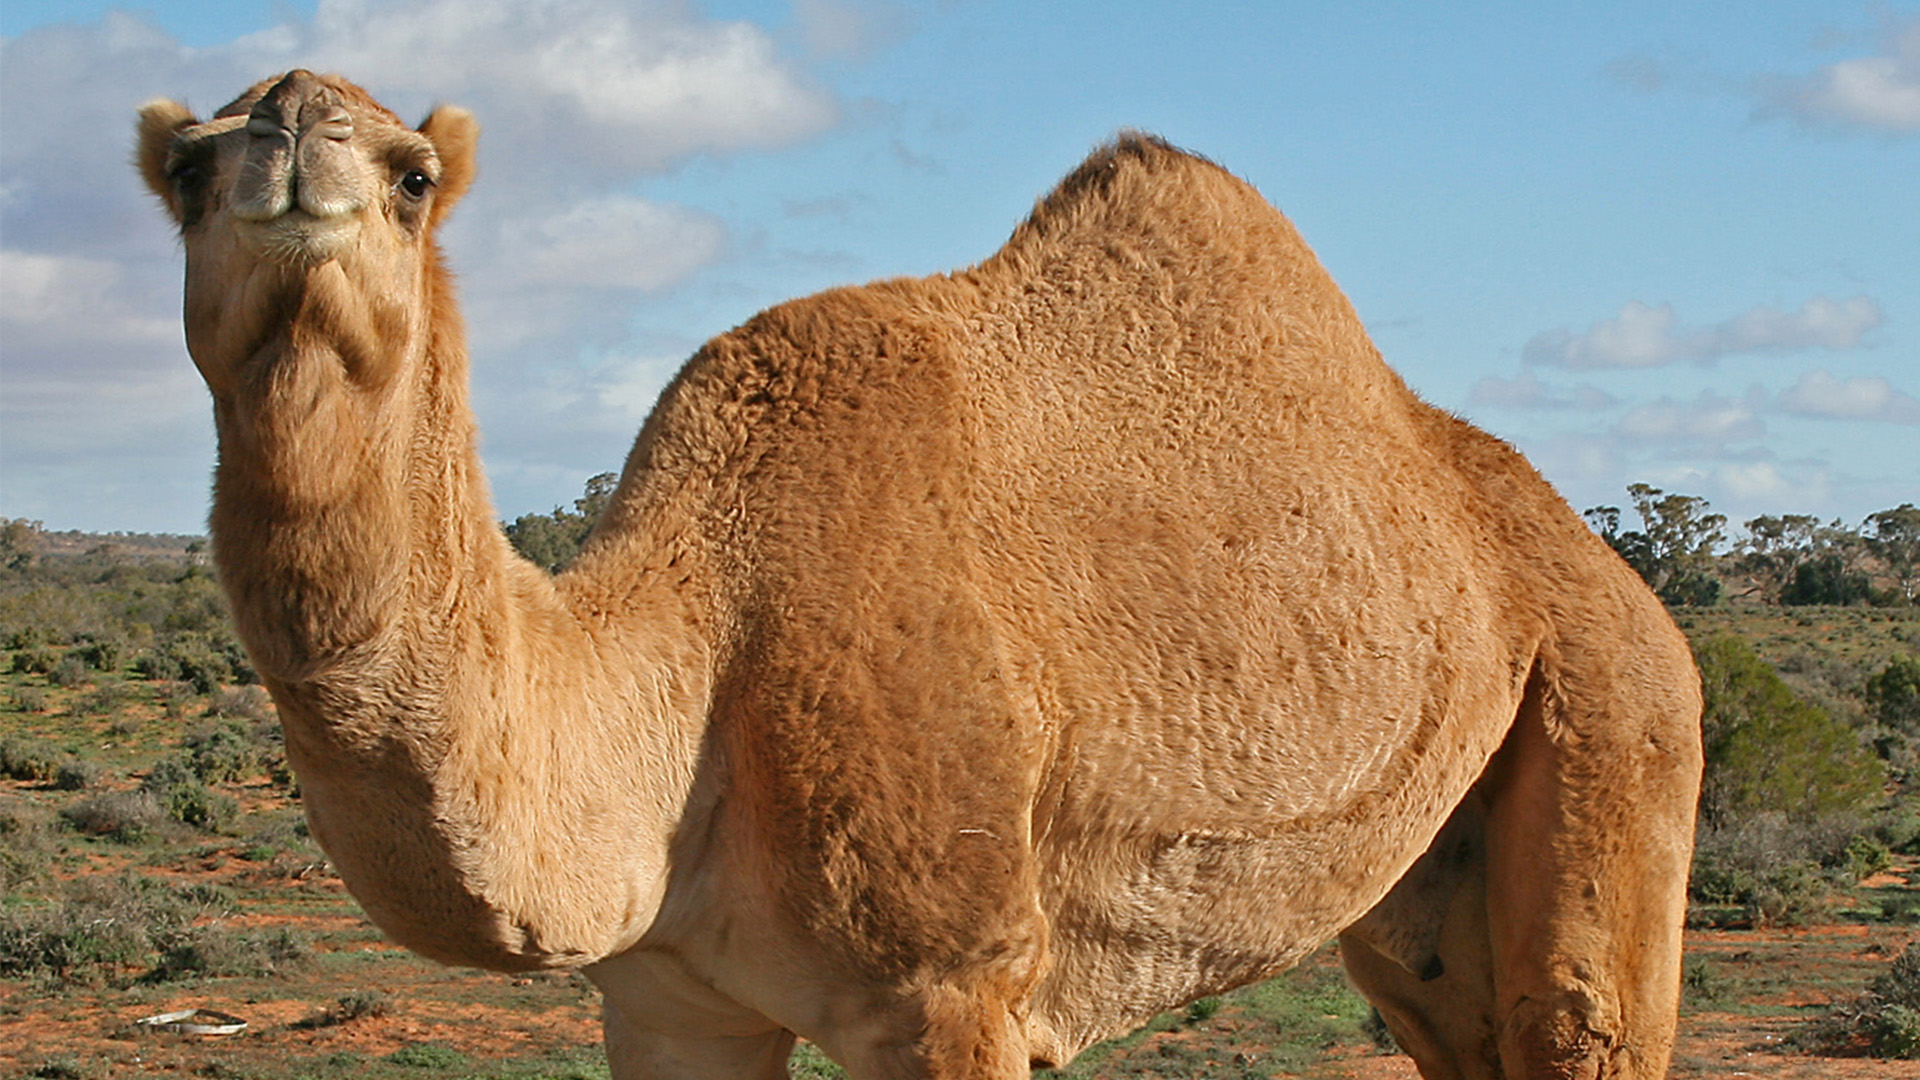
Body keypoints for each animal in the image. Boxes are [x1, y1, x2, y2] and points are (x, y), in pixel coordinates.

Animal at [136, 70, 1702, 1079]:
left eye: (414, 174)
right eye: (184, 172)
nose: (291, 128)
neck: (693, 664)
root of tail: (1617, 582)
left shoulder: (950, 983)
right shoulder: (666, 999)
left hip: (1616, 713)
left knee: (1582, 1019)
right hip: (1427, 866)